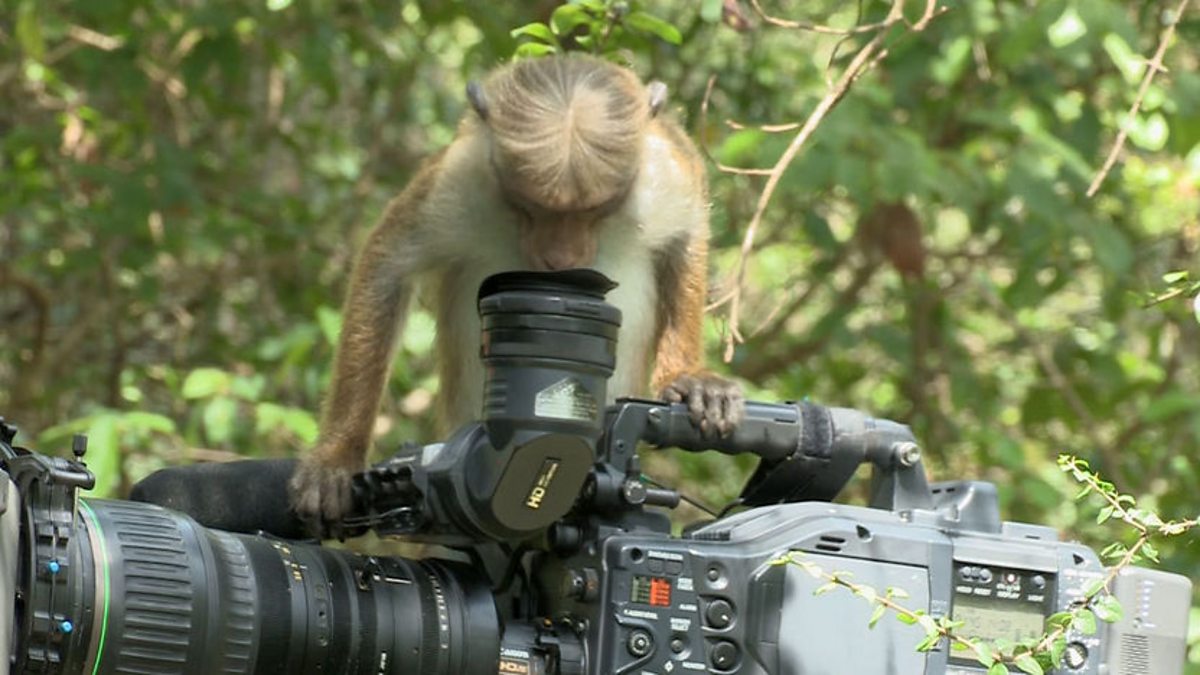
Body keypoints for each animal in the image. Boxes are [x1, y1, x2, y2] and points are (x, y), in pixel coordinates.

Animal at [289, 54, 744, 530]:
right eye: (532, 207)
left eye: (595, 209)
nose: (560, 255)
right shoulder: (460, 180)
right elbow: (387, 265)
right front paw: (337, 457)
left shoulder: (663, 175)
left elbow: (686, 237)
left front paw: (688, 377)